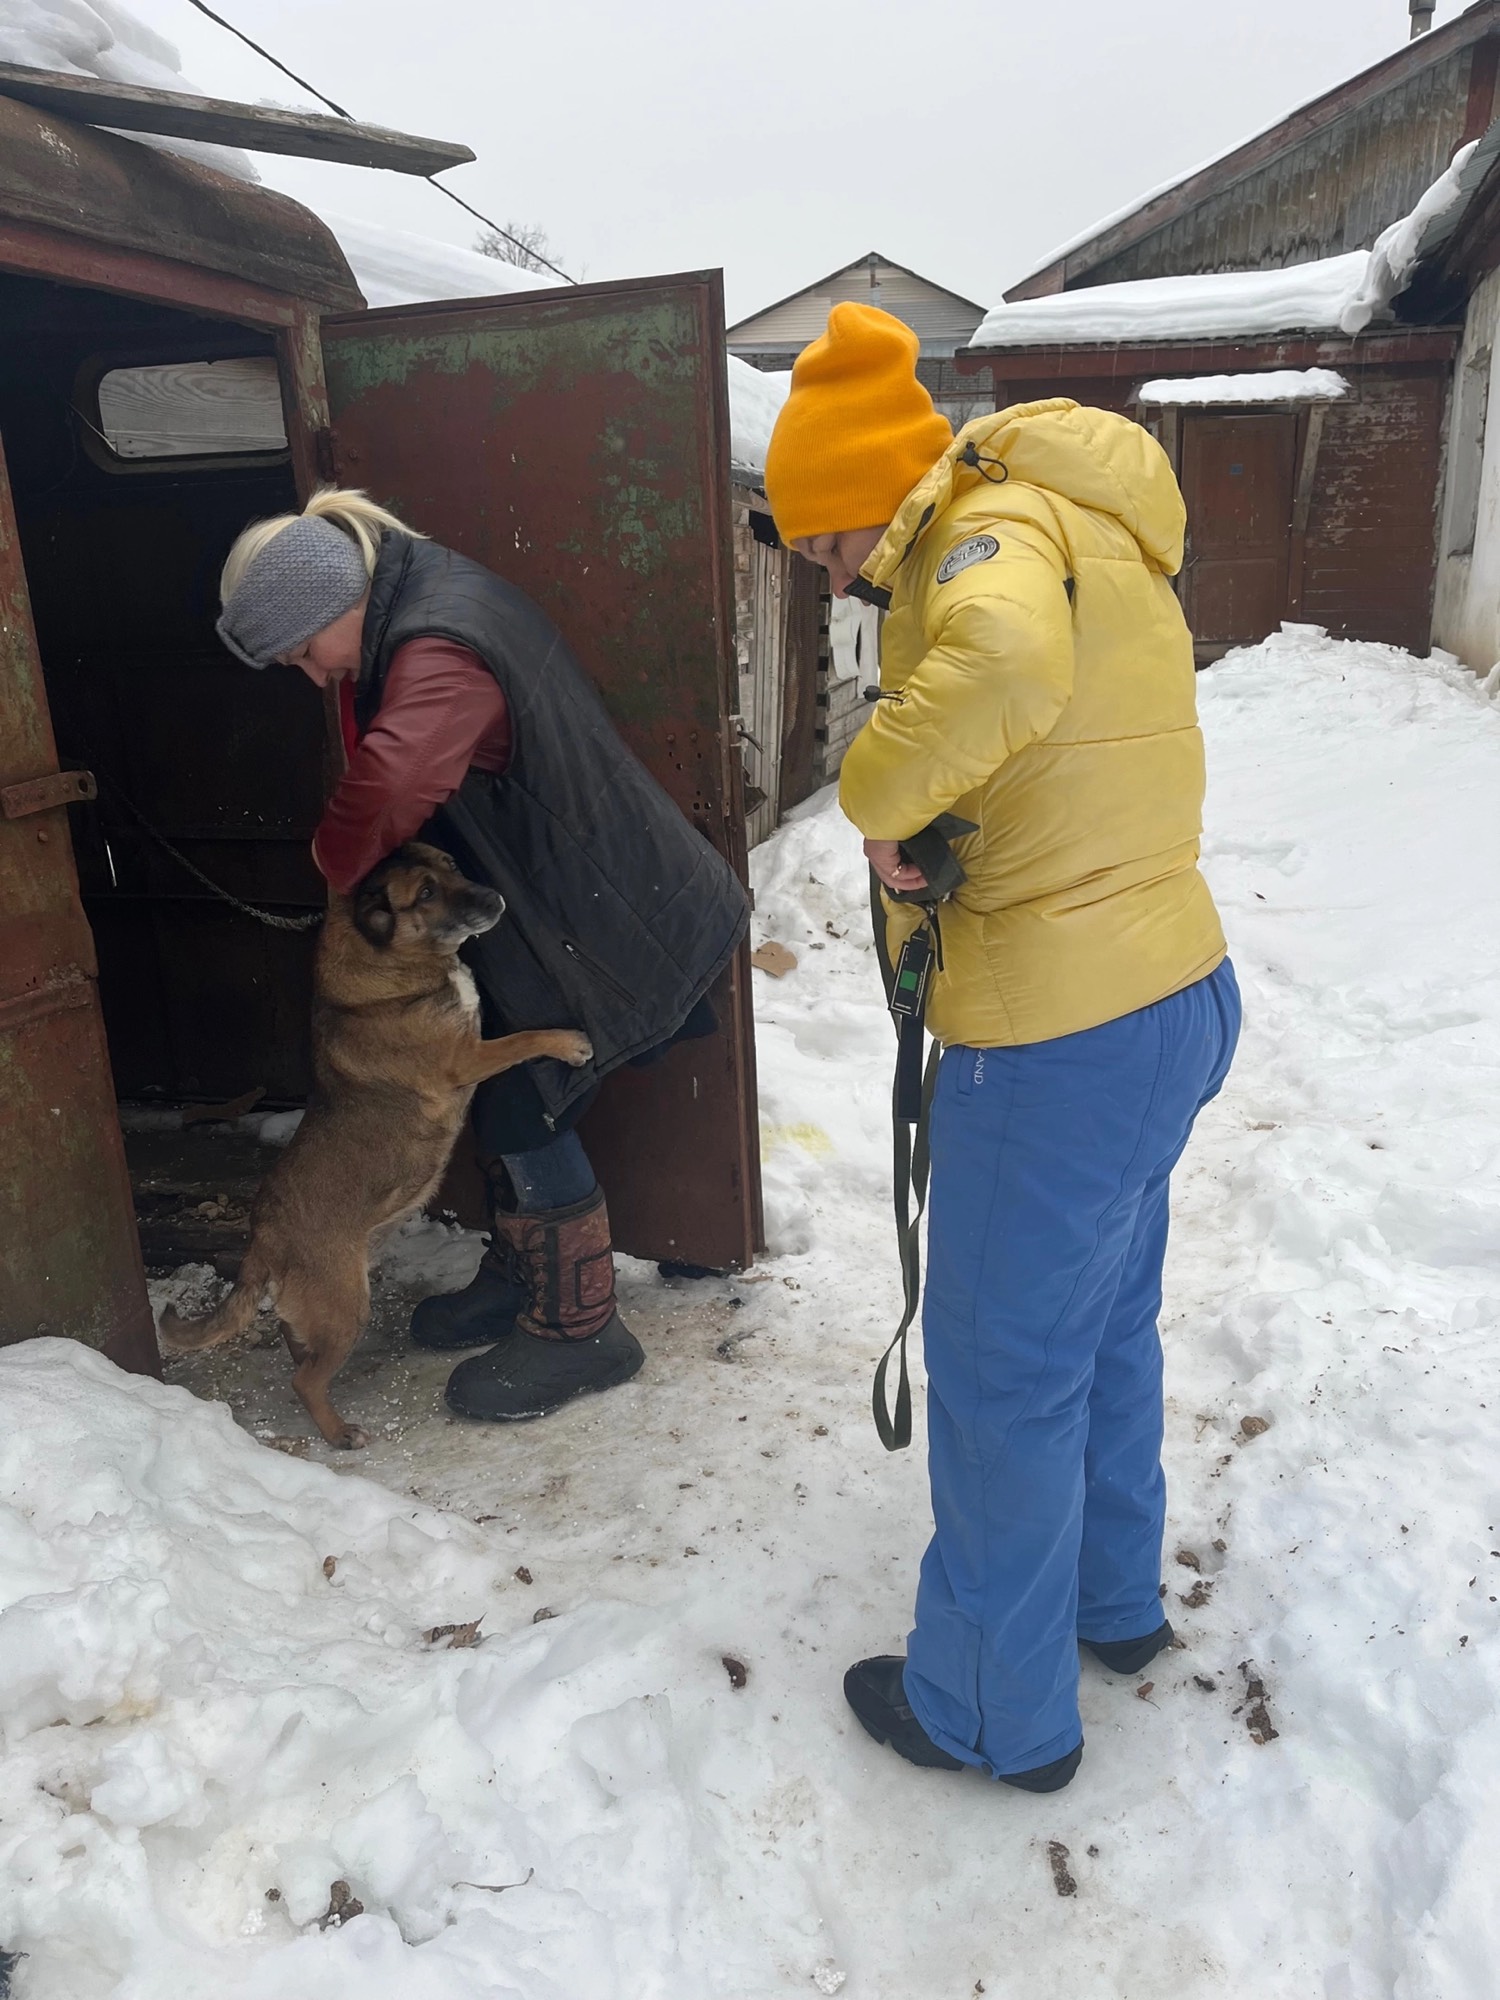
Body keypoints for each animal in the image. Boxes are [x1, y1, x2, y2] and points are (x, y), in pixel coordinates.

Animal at [157, 836, 592, 1448]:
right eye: (426, 893)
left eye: (450, 867)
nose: (493, 896)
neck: (395, 960)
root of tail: (262, 1237)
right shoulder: (465, 1058)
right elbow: (523, 1038)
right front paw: (568, 1043)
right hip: (346, 1306)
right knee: (304, 1380)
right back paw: (340, 1432)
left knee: (298, 1352)